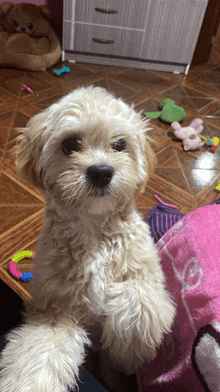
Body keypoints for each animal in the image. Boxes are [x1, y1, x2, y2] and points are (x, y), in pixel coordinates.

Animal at [0, 86, 175, 392]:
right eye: (69, 144)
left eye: (120, 144)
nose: (101, 172)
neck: (93, 228)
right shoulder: (54, 312)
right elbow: (37, 355)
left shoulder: (146, 277)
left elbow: (137, 303)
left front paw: (129, 352)